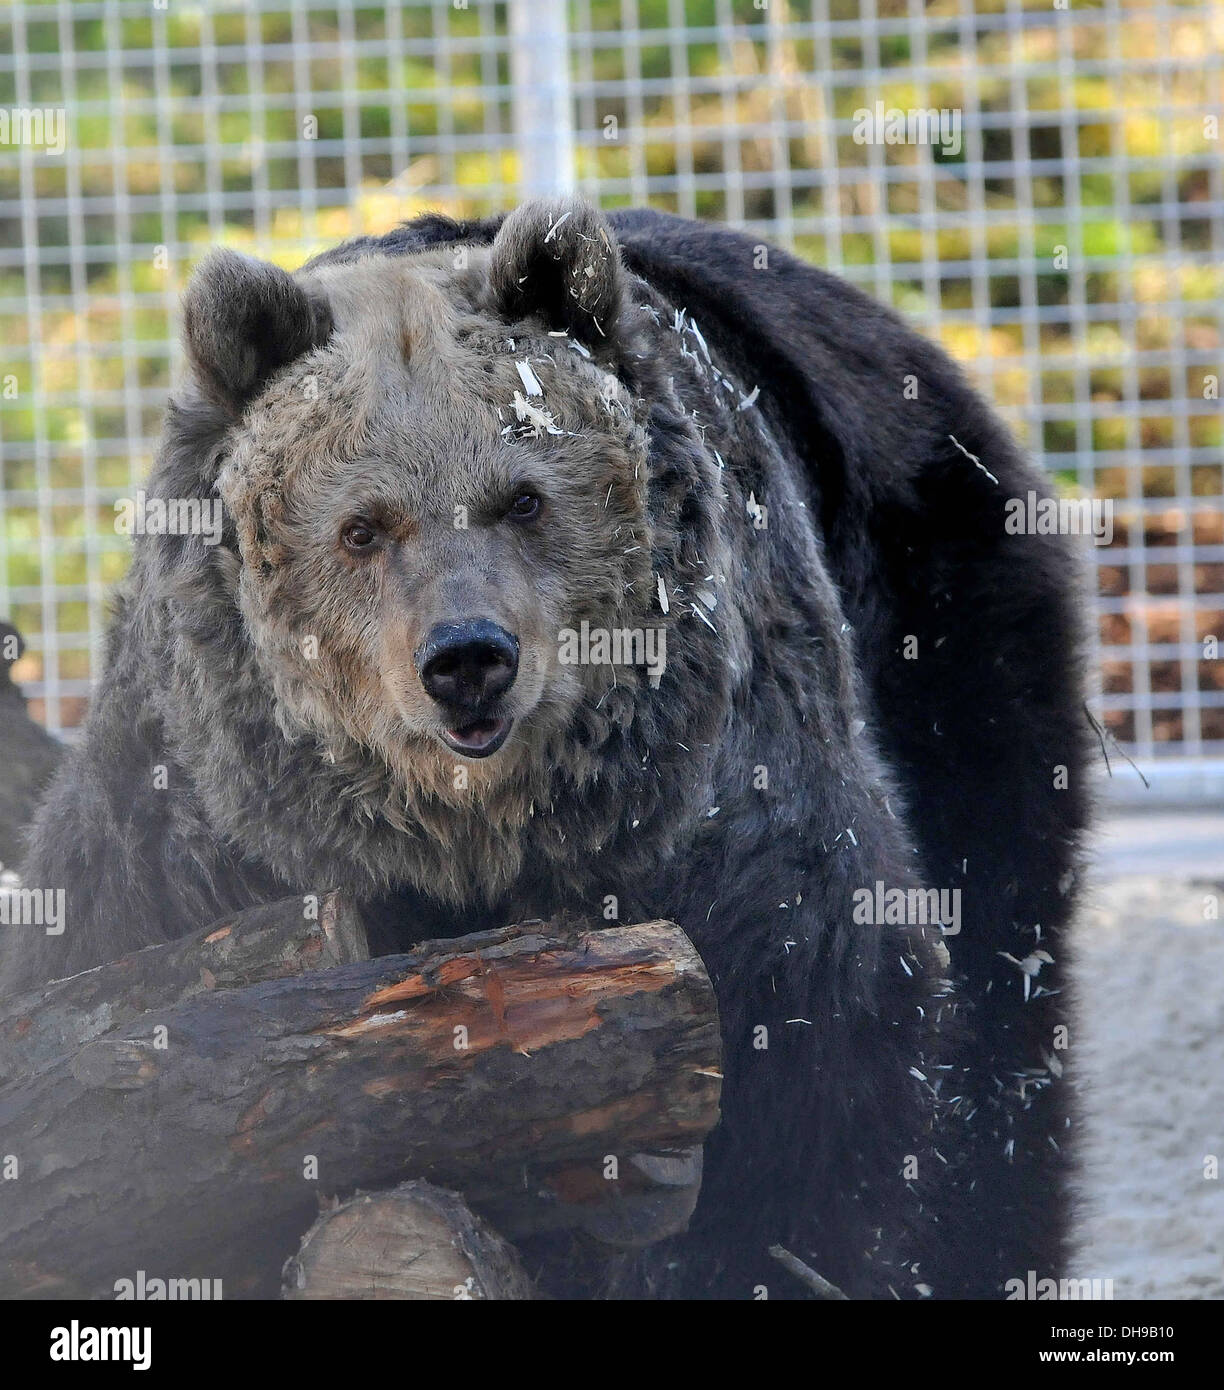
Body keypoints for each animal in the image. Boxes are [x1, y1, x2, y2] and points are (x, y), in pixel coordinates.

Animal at [0, 198, 1090, 1300]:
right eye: (363, 527)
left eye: (522, 497)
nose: (467, 660)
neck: (474, 841)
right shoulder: (210, 847)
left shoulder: (724, 824)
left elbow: (812, 1089)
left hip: (946, 616)